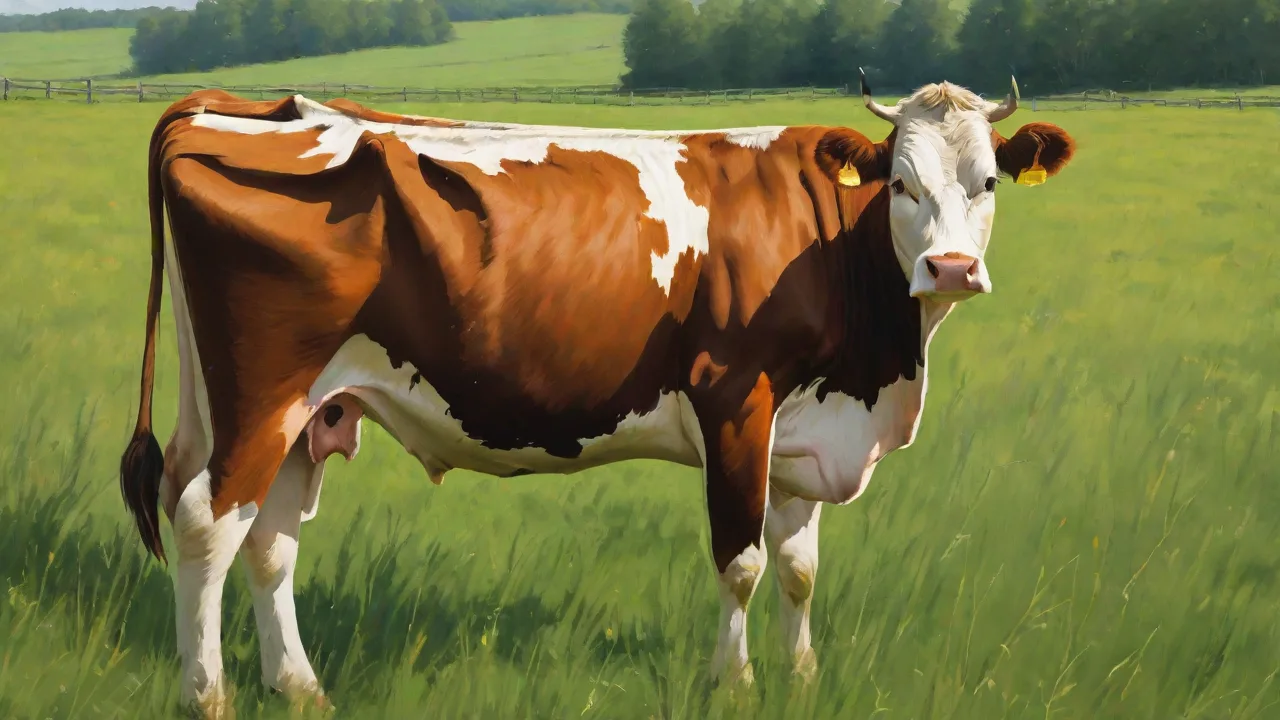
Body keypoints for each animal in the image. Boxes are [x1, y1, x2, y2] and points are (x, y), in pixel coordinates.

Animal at [118, 71, 1075, 718]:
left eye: (988, 181)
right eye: (902, 184)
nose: (951, 268)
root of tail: (251, 105)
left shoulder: (807, 428)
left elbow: (800, 567)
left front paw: (802, 678)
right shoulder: (737, 398)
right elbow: (743, 561)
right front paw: (736, 683)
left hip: (301, 407)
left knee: (268, 540)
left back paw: (299, 687)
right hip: (262, 392)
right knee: (208, 522)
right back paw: (208, 697)